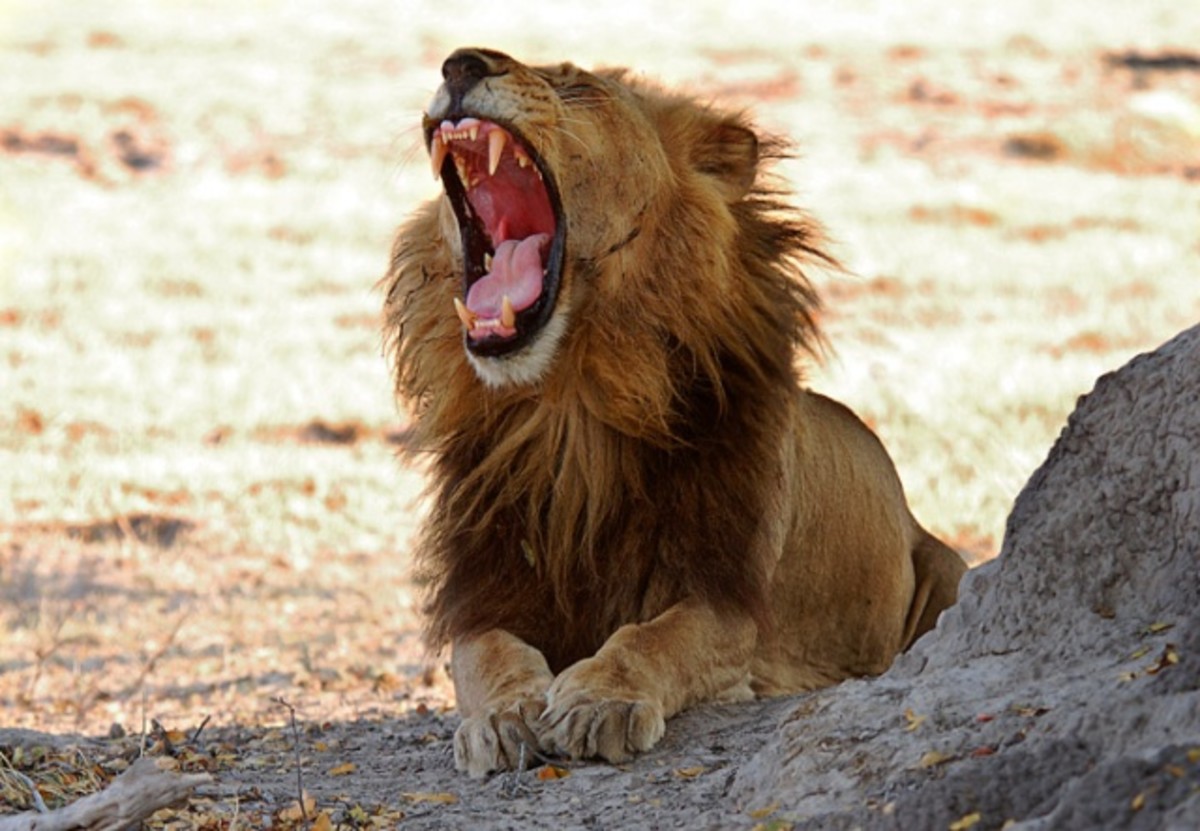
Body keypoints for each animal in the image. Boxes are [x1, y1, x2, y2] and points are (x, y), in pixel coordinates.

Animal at [383, 47, 967, 778]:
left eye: (578, 85)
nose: (461, 63)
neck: (570, 404)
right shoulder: (488, 585)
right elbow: (487, 655)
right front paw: (504, 713)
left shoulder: (728, 595)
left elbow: (655, 637)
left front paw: (601, 701)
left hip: (949, 568)